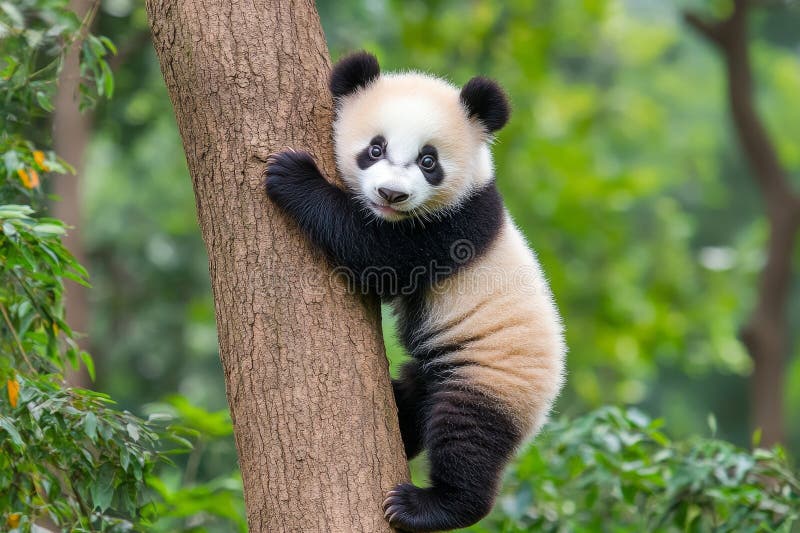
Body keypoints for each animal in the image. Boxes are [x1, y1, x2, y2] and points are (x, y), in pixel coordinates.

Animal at [265, 51, 565, 532]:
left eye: (429, 161)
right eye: (375, 149)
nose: (391, 193)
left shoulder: (450, 230)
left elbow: (375, 255)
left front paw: (292, 175)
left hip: (494, 379)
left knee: (467, 438)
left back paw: (429, 505)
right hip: (434, 371)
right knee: (413, 399)